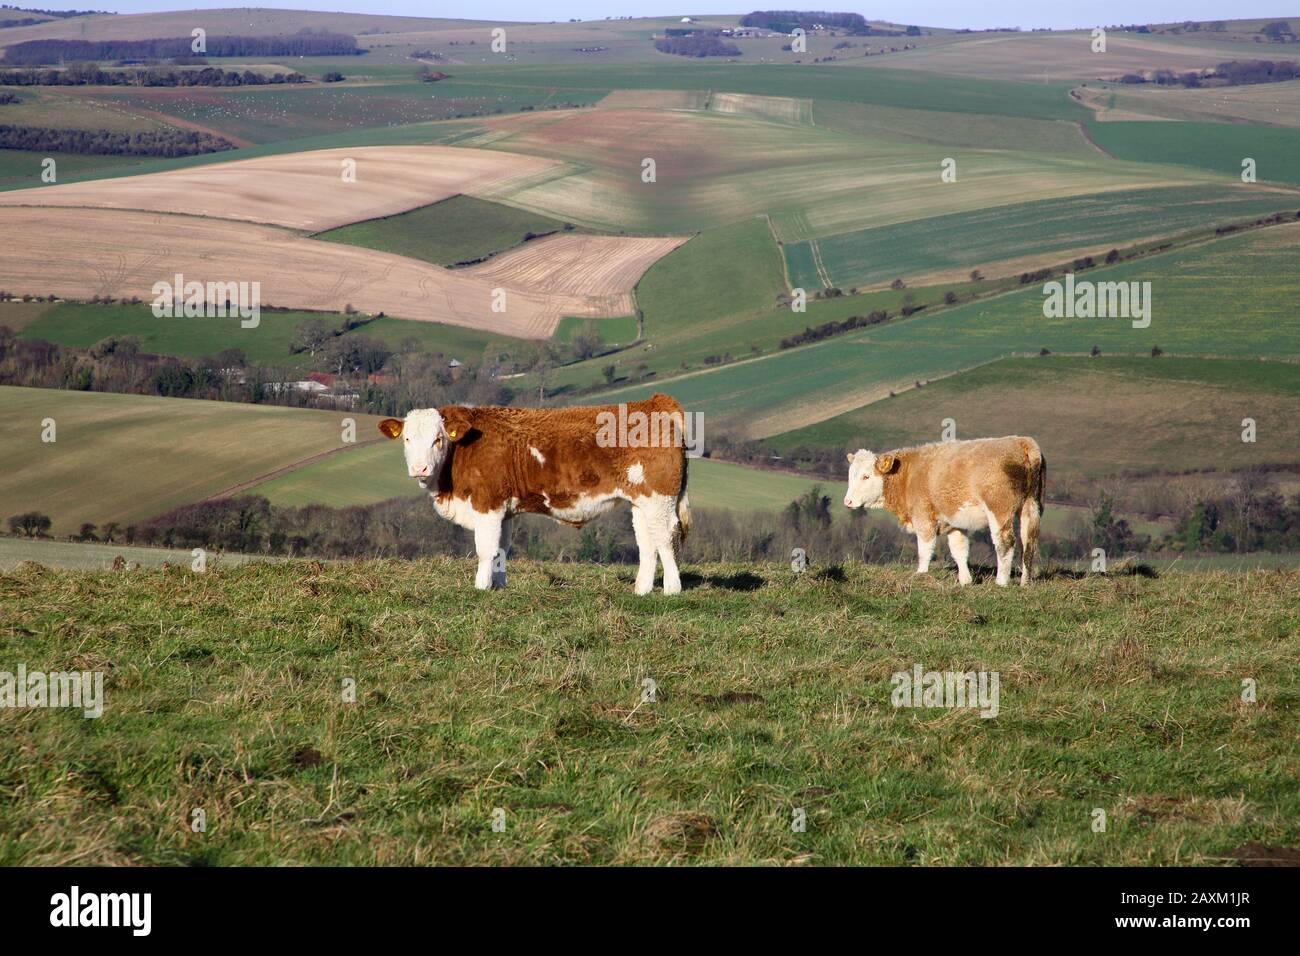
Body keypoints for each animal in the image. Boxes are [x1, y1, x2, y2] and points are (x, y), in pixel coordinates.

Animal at [378, 394, 691, 595]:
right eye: (407, 439)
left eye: (438, 439)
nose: (420, 468)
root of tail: (654, 403)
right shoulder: (503, 510)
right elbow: (501, 548)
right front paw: (498, 586)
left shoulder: (488, 504)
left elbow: (485, 549)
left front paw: (480, 588)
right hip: (641, 502)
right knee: (647, 542)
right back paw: (642, 590)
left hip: (660, 498)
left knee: (665, 537)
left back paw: (672, 589)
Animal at [843, 437, 1045, 587]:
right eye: (850, 475)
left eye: (866, 476)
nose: (847, 501)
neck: (907, 475)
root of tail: (1022, 441)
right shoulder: (955, 523)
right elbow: (959, 550)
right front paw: (965, 581)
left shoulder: (923, 518)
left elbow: (925, 550)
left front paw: (921, 576)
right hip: (1031, 506)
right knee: (1028, 543)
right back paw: (1025, 582)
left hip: (999, 509)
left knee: (1005, 542)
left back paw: (1001, 582)